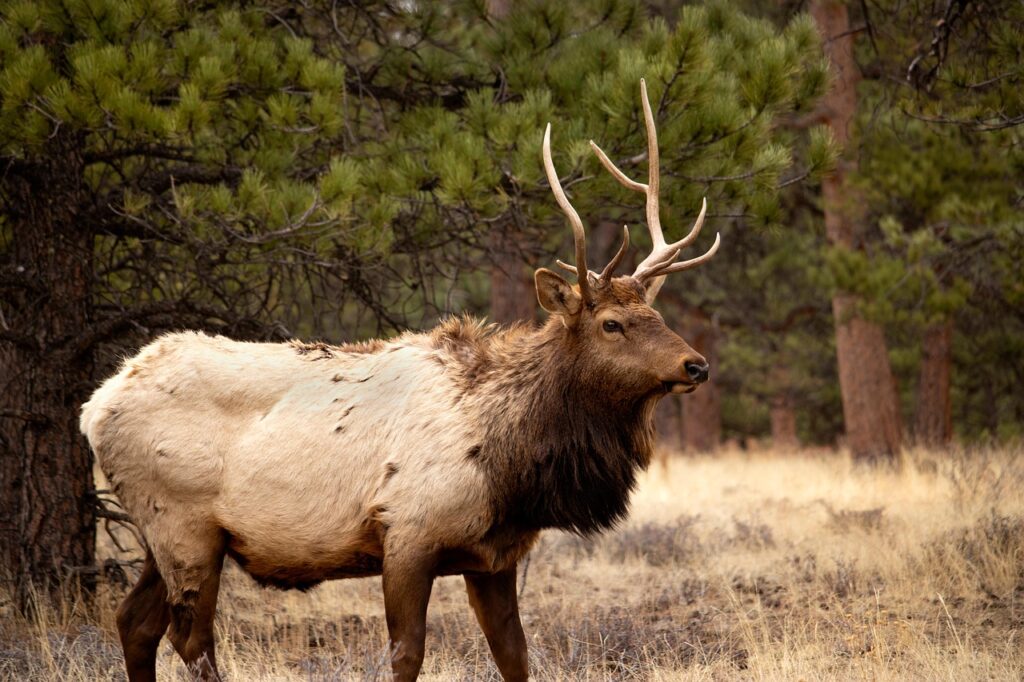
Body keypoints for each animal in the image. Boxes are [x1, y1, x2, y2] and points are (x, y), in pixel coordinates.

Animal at [79, 79, 720, 682]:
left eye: (655, 314)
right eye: (612, 324)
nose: (697, 365)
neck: (510, 460)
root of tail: (96, 406)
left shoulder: (494, 554)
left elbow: (515, 656)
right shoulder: (407, 532)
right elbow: (406, 654)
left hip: (165, 534)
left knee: (134, 623)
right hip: (182, 524)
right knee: (191, 642)